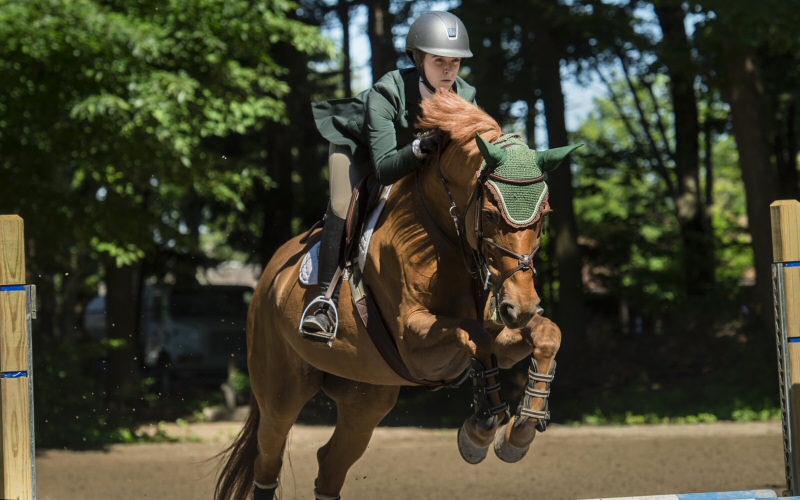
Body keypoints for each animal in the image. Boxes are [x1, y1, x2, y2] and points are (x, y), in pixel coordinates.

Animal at [214, 90, 579, 500]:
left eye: (544, 216)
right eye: (488, 214)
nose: (522, 307)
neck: (443, 236)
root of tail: (268, 278)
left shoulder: (495, 330)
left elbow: (545, 335)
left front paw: (519, 430)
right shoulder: (414, 342)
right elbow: (476, 336)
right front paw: (481, 428)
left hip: (366, 396)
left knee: (330, 464)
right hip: (281, 391)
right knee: (269, 457)